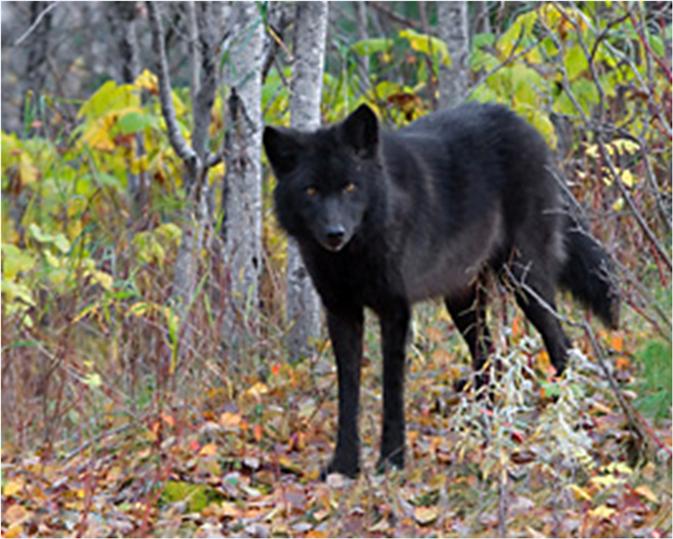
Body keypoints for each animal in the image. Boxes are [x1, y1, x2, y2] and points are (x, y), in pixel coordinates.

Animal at [263, 103, 619, 477]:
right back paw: (483, 432)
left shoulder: (395, 311)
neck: (353, 255)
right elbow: (348, 392)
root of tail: (525, 125)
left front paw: (391, 459)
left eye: (349, 186)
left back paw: (565, 423)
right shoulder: (342, 313)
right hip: (462, 303)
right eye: (311, 191)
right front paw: (344, 465)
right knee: (489, 360)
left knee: (562, 346)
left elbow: (392, 389)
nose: (335, 233)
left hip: (525, 284)